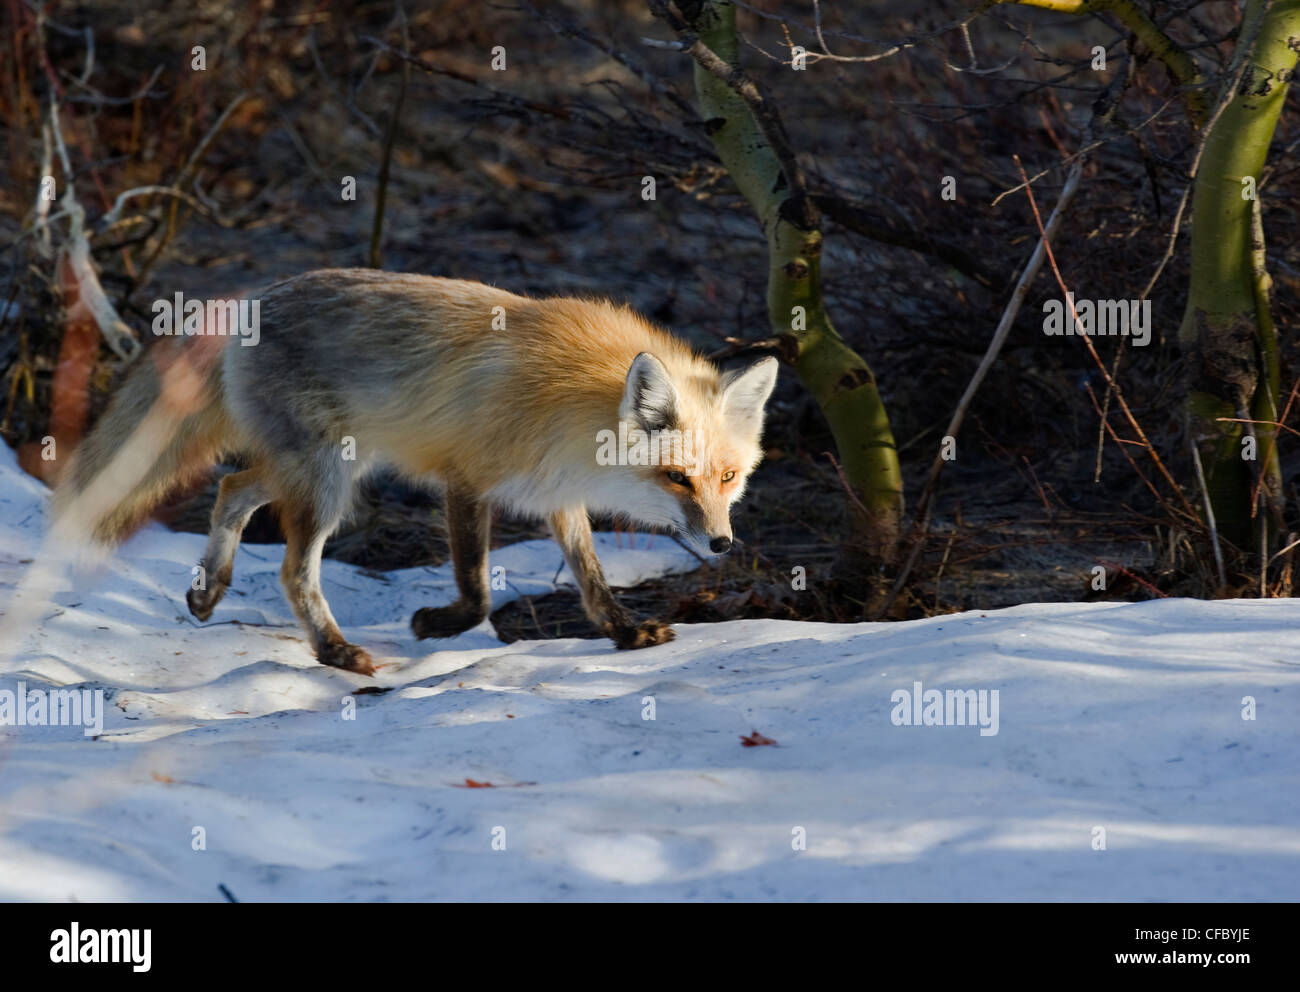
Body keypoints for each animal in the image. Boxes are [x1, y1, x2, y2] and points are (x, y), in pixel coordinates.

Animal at [52, 269, 778, 675]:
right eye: (678, 479)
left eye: (727, 479)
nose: (722, 544)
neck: (573, 408)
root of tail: (253, 297)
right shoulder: (466, 478)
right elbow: (478, 590)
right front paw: (436, 625)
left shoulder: (556, 495)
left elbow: (592, 580)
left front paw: (626, 634)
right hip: (327, 483)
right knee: (293, 569)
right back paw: (335, 652)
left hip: (329, 467)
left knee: (231, 490)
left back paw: (210, 591)